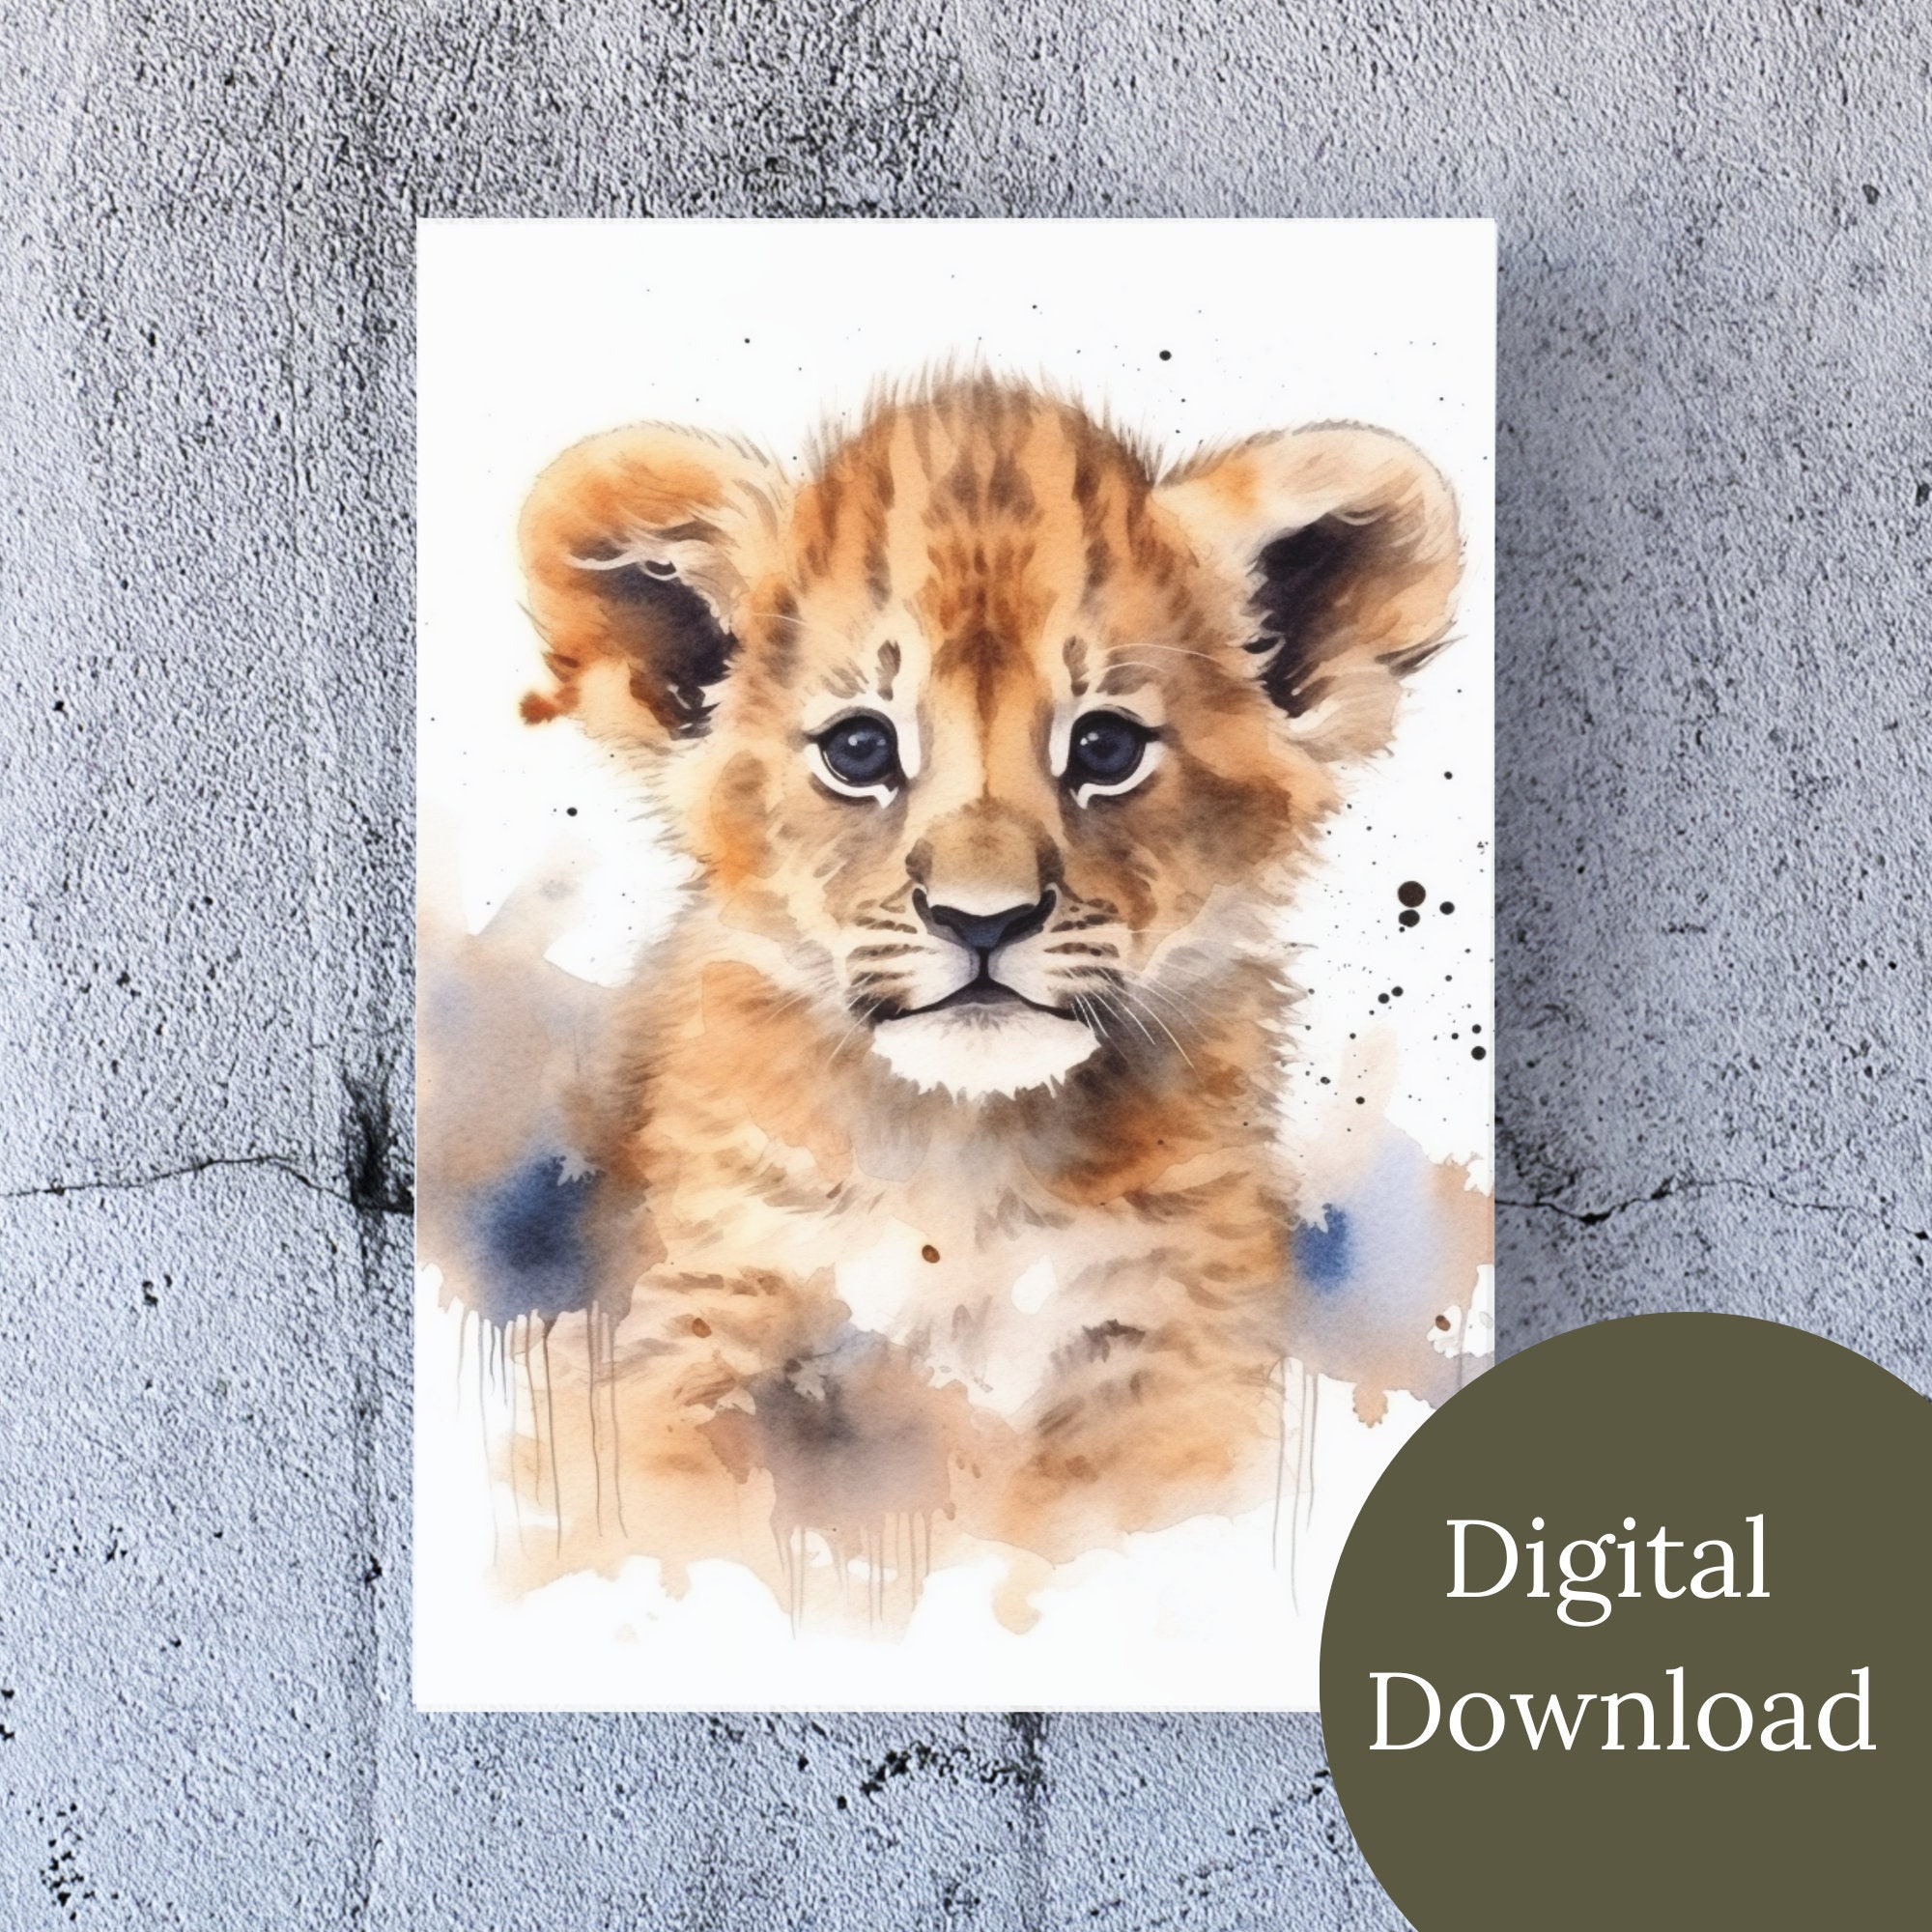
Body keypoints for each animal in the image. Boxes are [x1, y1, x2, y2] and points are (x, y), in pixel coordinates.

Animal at [452, 373, 1461, 1614]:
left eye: (1107, 746)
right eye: (857, 748)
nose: (983, 919)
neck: (966, 1160)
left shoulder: (1173, 1351)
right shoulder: (687, 1323)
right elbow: (676, 1501)